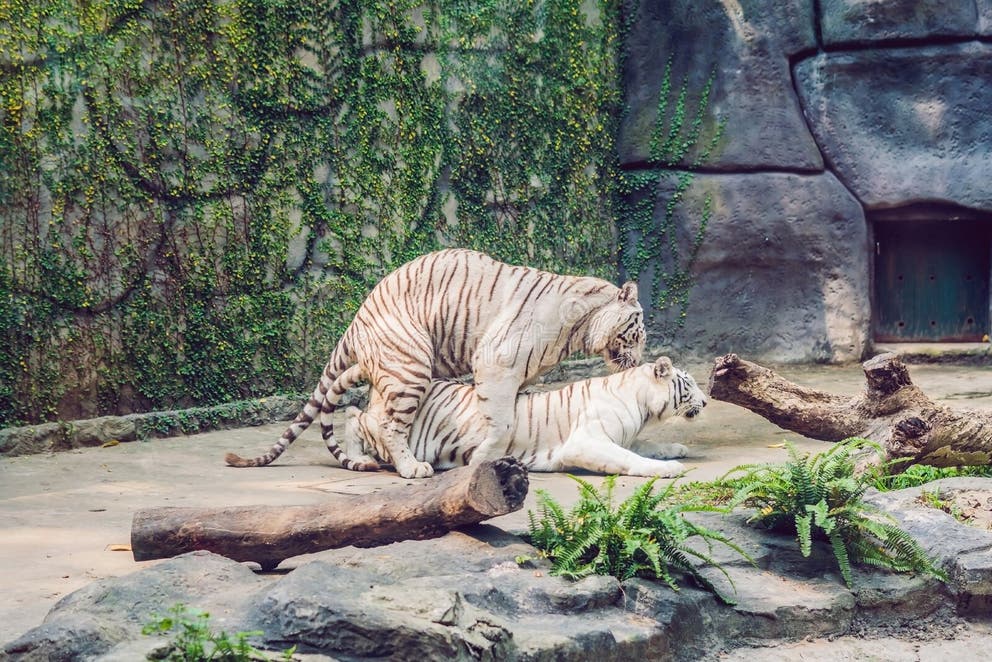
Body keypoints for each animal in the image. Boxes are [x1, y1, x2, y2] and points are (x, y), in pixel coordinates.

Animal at [225, 248, 646, 478]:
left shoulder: (518, 376)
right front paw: (483, 459)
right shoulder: (496, 362)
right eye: (638, 331)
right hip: (411, 366)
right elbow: (502, 422)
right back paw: (412, 468)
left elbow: (515, 415)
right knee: (388, 424)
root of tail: (355, 322)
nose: (640, 360)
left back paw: (363, 458)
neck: (580, 327)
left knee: (359, 413)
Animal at [337, 356, 706, 477]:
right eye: (688, 383)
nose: (705, 401)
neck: (643, 405)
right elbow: (630, 458)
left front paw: (676, 449)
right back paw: (365, 460)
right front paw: (669, 469)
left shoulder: (625, 437)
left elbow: (646, 446)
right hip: (402, 431)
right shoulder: (585, 441)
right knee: (356, 416)